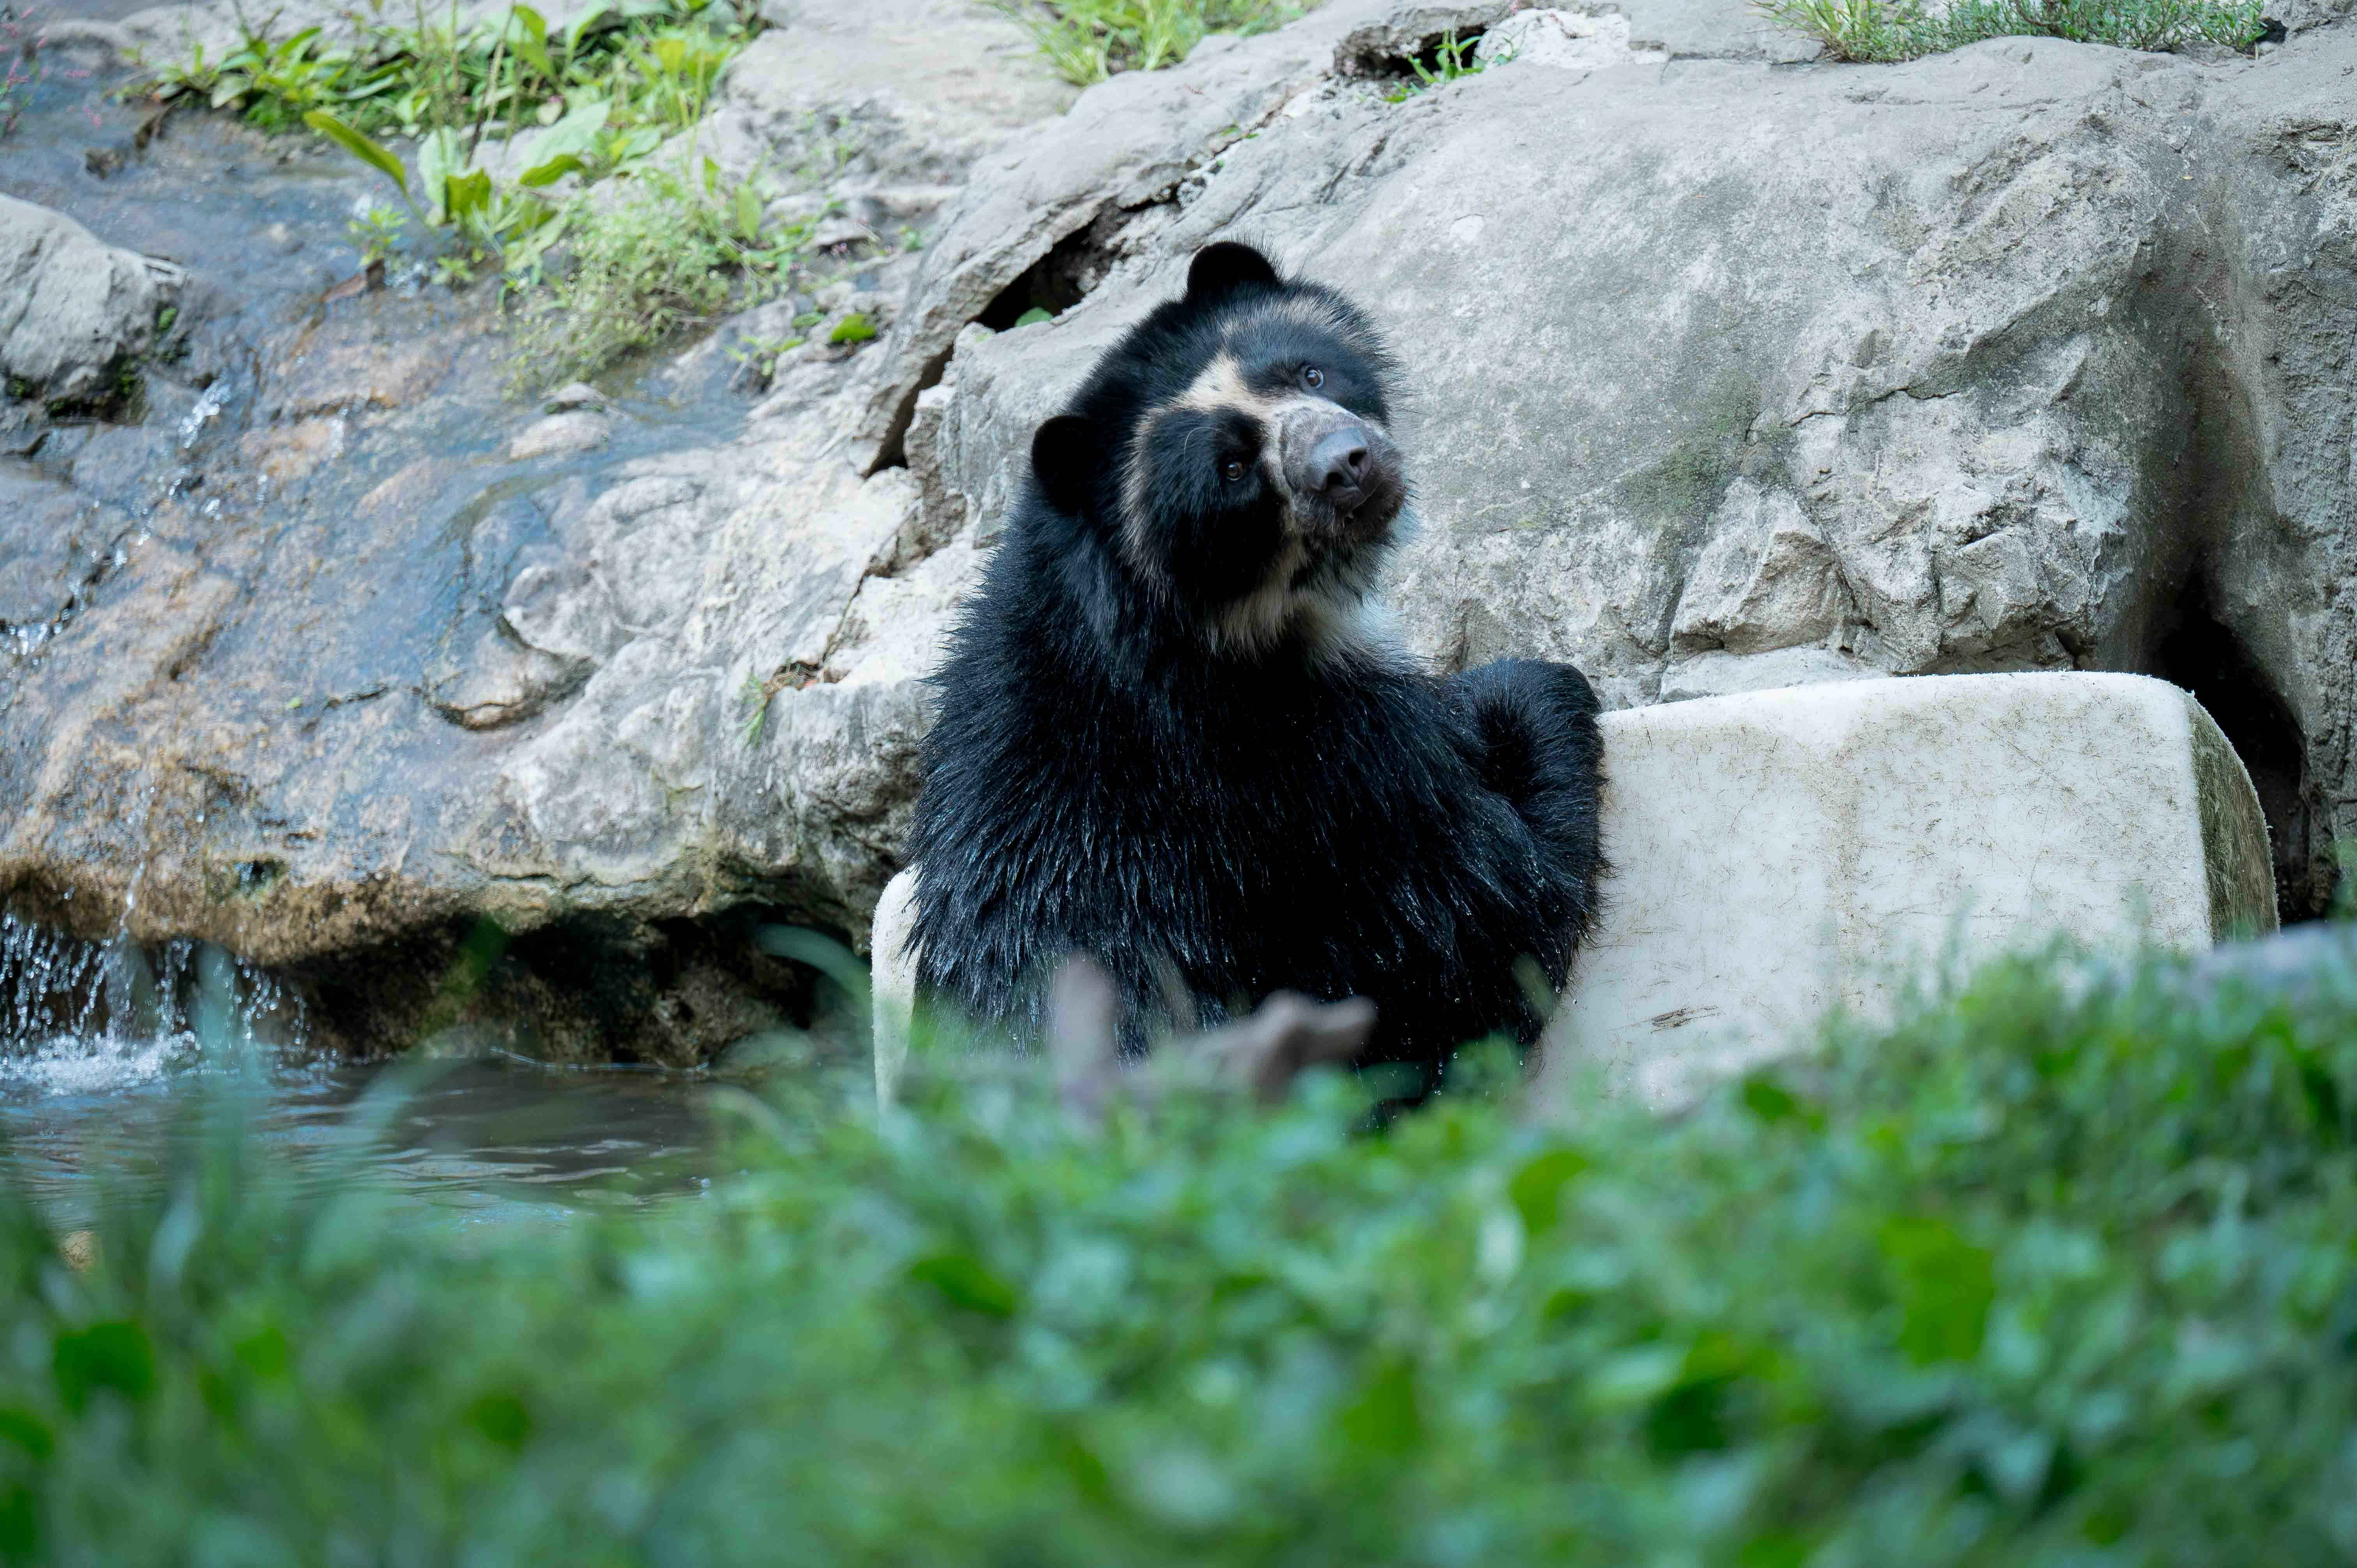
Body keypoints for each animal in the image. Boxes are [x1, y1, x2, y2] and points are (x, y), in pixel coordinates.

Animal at [903, 241, 1605, 1101]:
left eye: (1310, 373)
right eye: (1234, 469)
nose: (1348, 465)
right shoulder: (1311, 774)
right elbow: (1491, 922)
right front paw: (1524, 689)